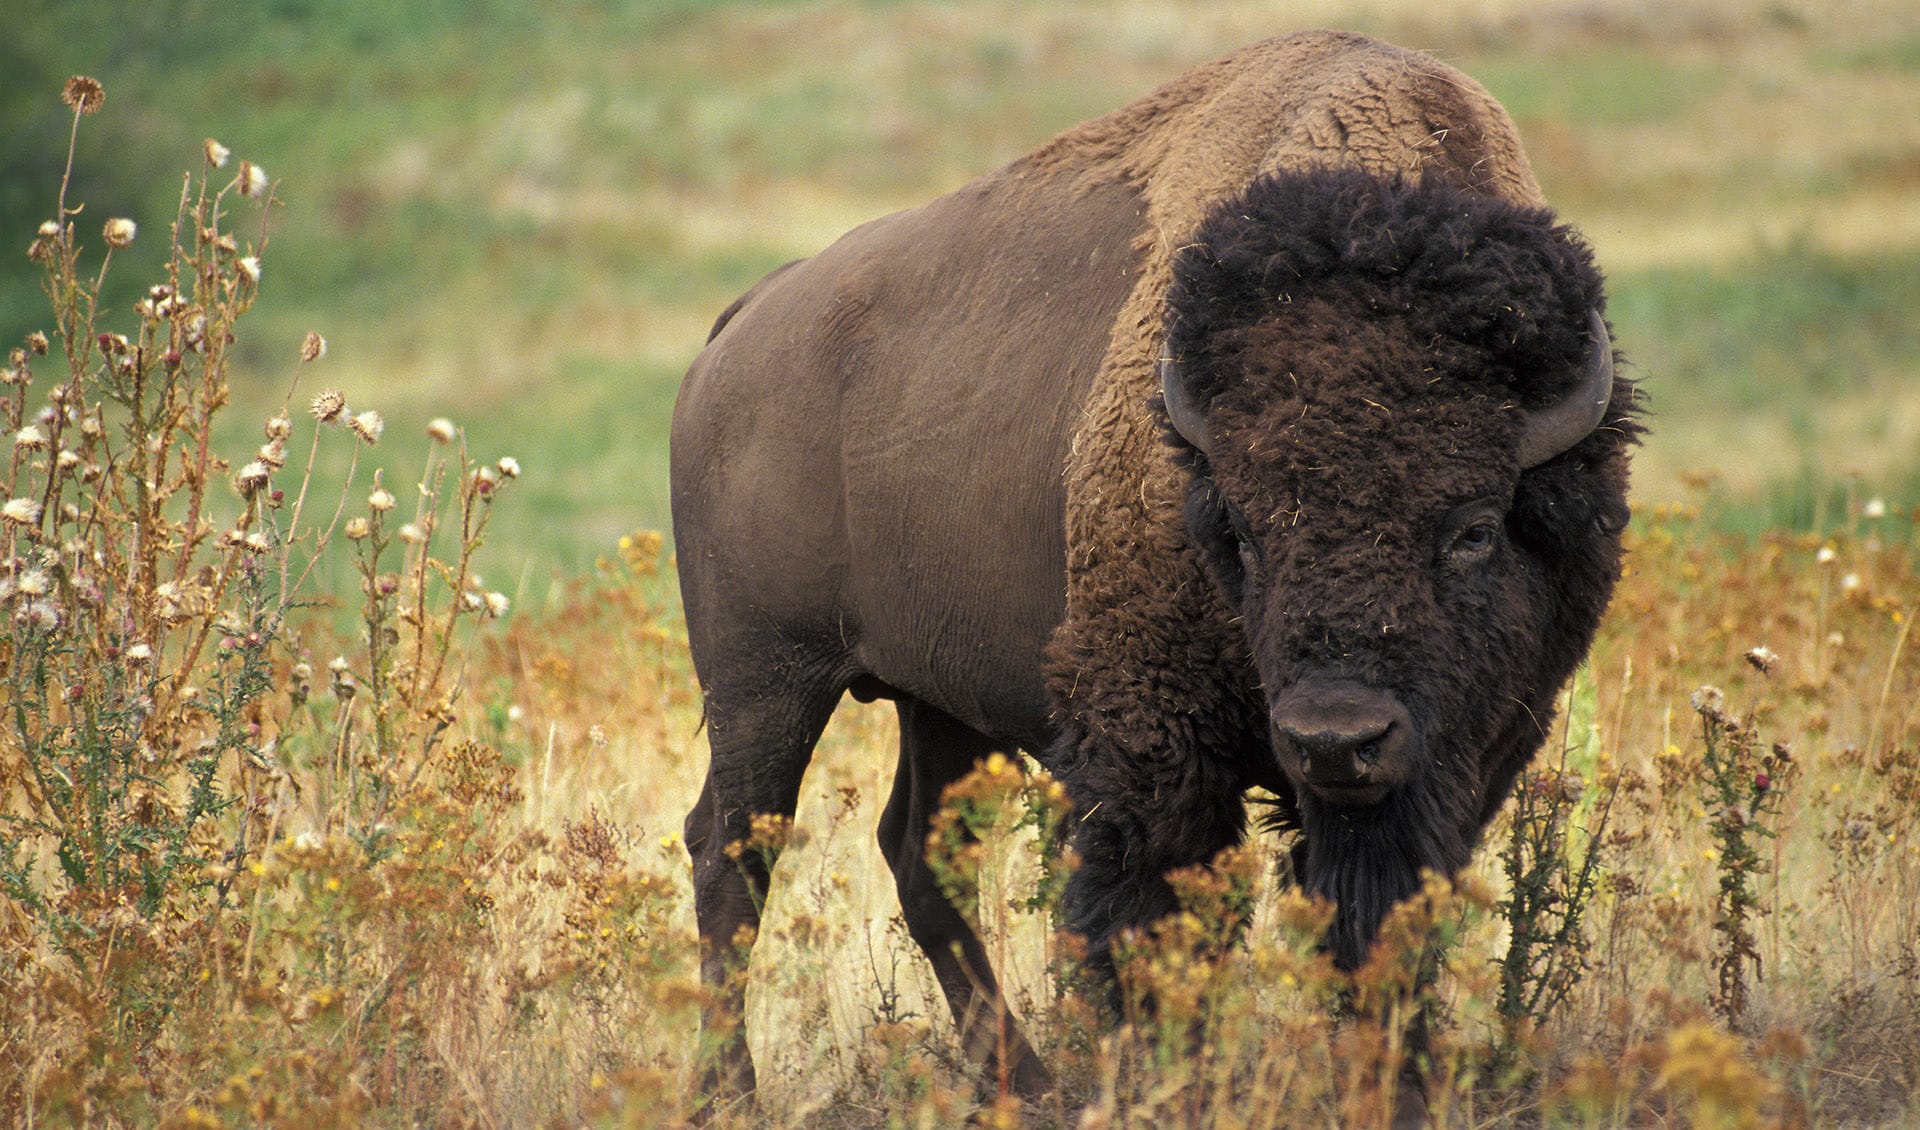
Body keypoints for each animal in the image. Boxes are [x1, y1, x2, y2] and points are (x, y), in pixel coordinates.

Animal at [670, 28, 1637, 1111]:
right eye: (1242, 533)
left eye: (1473, 528)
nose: (1336, 739)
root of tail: (744, 325)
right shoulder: (1153, 745)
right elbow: (1156, 925)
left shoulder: (1463, 760)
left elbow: (1384, 928)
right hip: (765, 680)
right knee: (732, 850)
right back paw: (733, 1094)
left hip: (938, 700)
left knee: (917, 853)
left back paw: (1025, 1084)